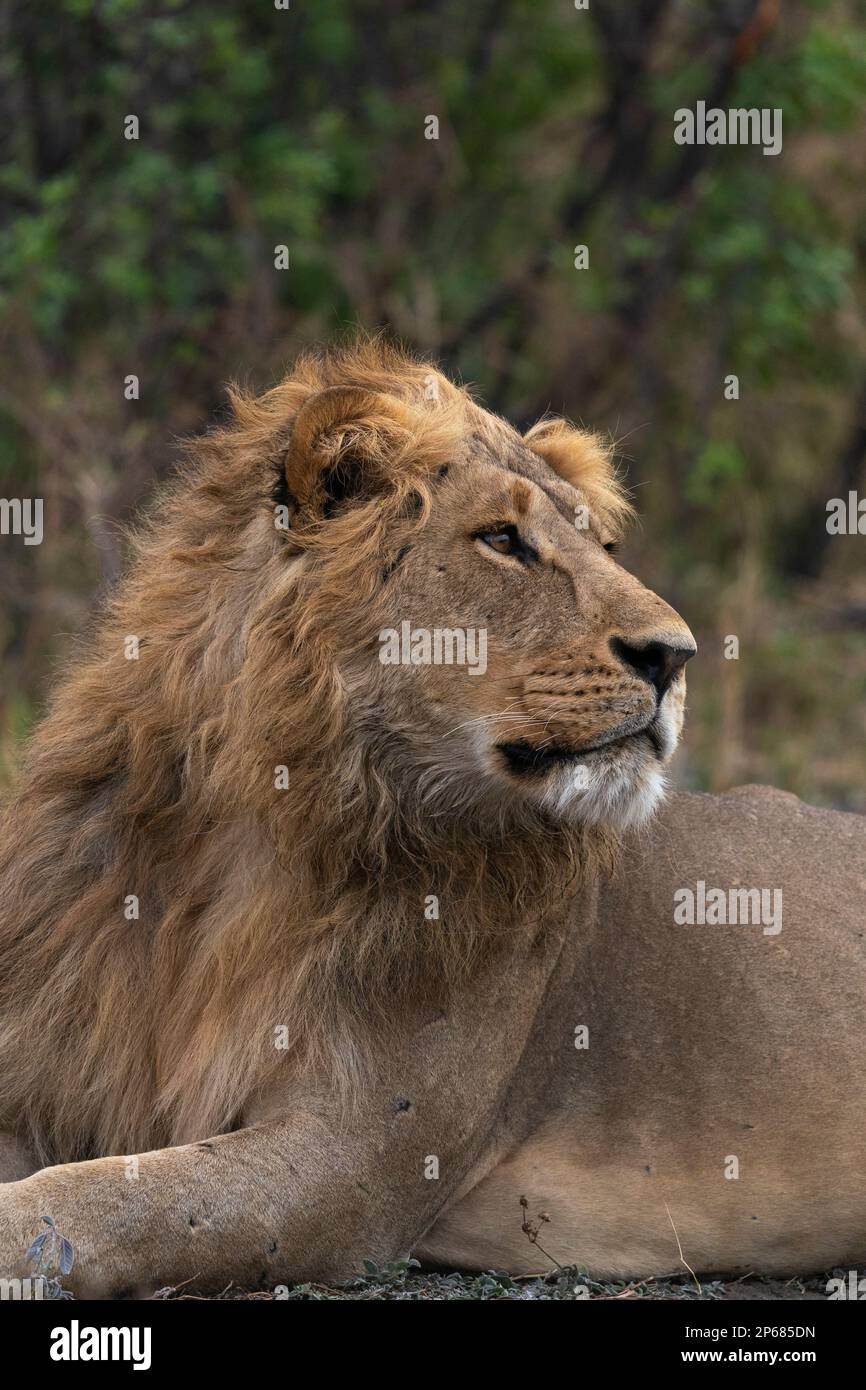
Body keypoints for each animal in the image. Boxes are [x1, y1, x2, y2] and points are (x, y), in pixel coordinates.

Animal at [0, 339, 864, 1298]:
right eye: (503, 540)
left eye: (602, 545)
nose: (675, 657)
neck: (264, 824)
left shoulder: (353, 1166)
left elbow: (103, 1199)